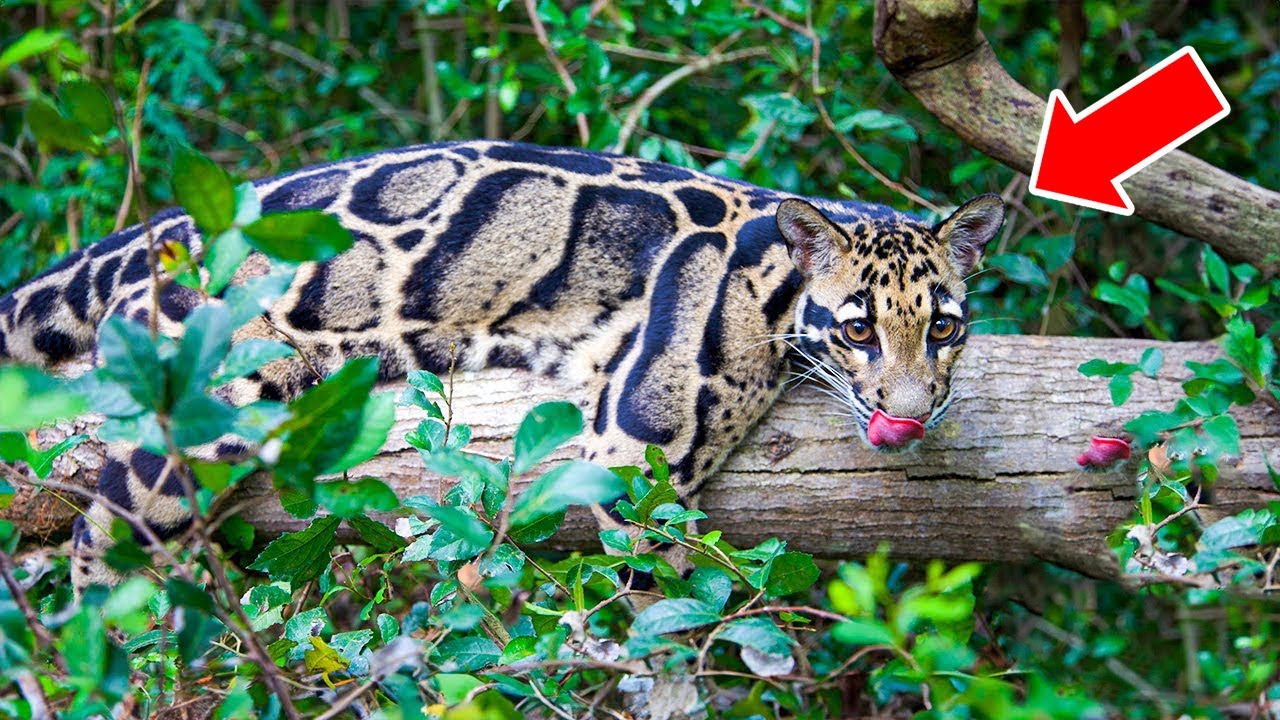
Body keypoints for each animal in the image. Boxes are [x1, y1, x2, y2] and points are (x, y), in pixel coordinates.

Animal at [0, 140, 1005, 595]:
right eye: (859, 330)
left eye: (945, 327)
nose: (912, 411)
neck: (780, 281)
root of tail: (167, 229)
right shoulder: (637, 444)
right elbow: (655, 599)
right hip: (185, 424)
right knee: (100, 554)